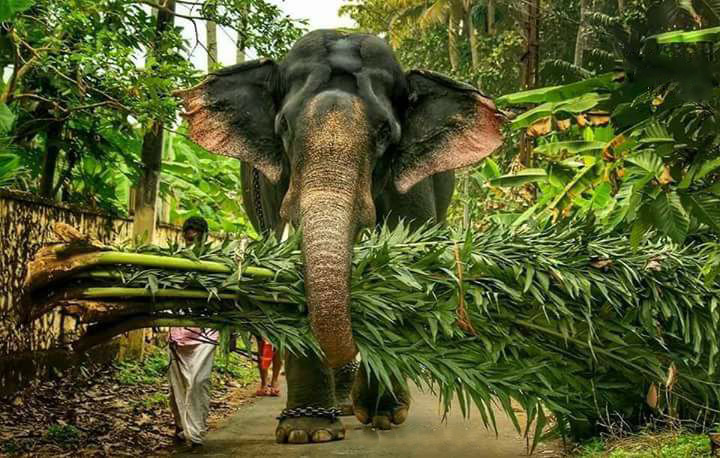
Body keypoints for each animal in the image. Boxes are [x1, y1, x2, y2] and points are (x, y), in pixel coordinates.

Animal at [178, 29, 503, 444]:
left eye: (386, 132)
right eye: (284, 127)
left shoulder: (413, 186)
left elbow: (405, 269)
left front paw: (384, 415)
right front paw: (308, 431)